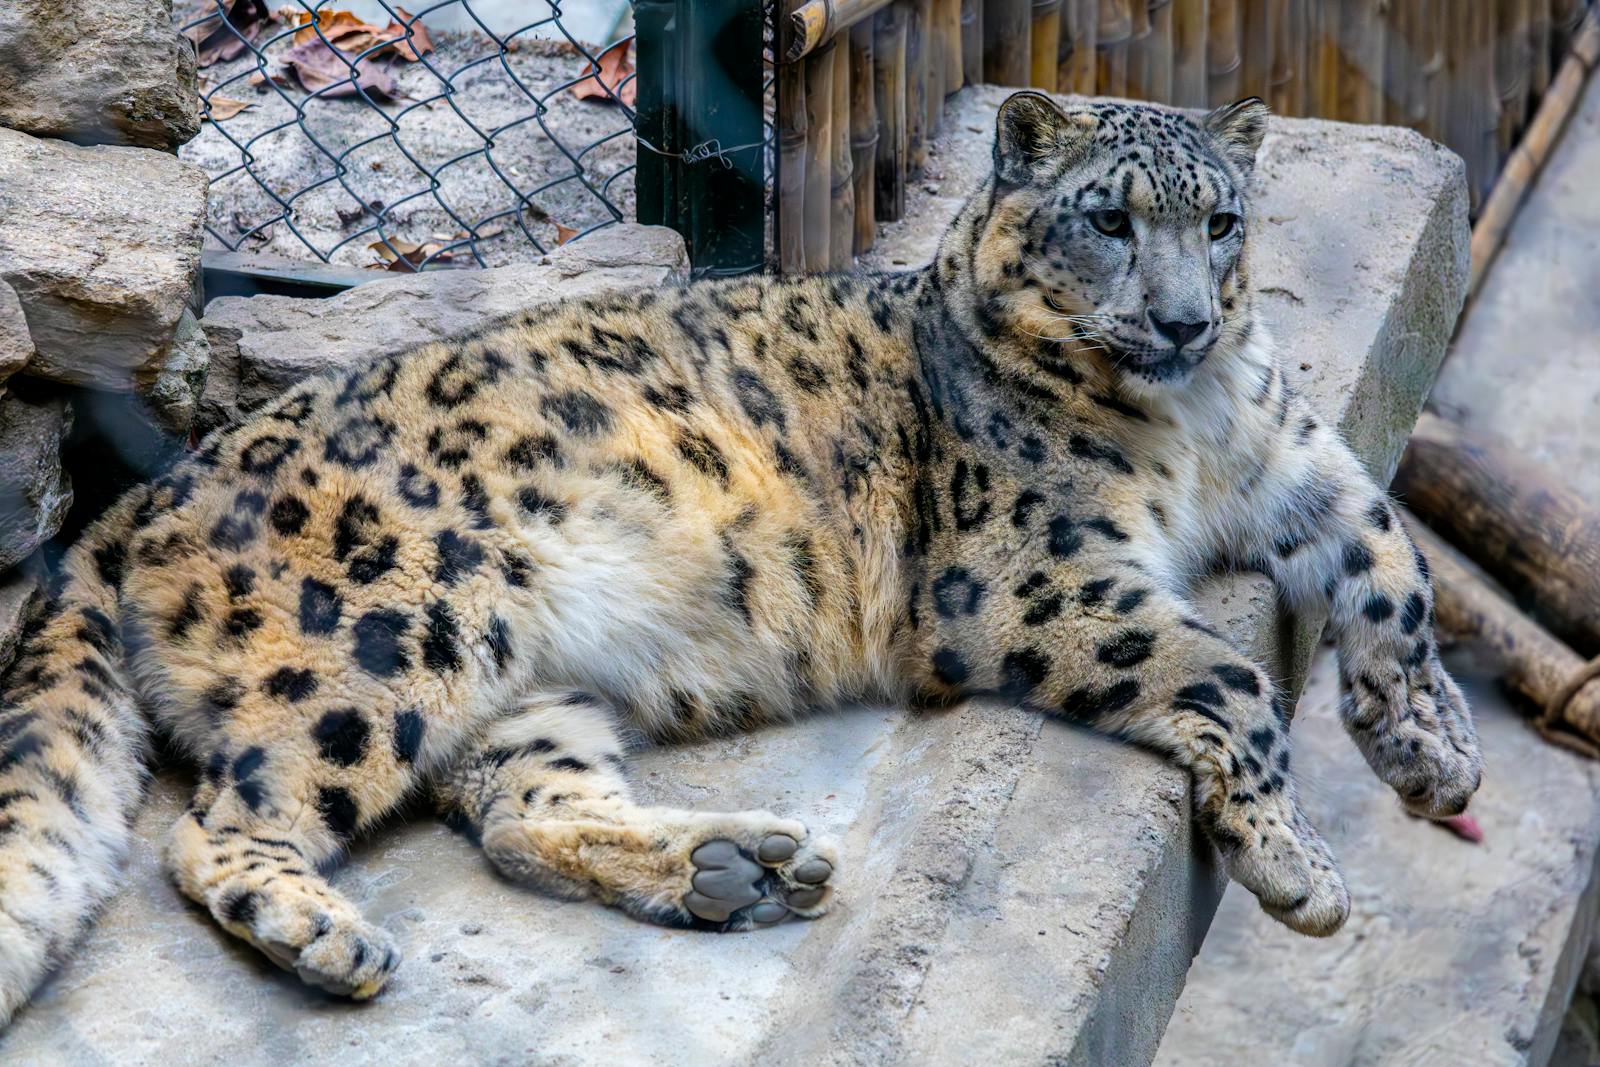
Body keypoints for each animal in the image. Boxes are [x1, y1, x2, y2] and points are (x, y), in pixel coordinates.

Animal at [0, 91, 1481, 1020]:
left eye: (1220, 221)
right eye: (1110, 219)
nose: (1182, 319)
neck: (1196, 426)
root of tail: (145, 499)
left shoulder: (1293, 456)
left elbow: (1392, 560)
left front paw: (1430, 747)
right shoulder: (1025, 570)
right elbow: (1226, 674)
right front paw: (1297, 867)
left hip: (515, 687)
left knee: (520, 809)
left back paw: (736, 868)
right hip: (377, 645)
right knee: (220, 824)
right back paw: (325, 932)